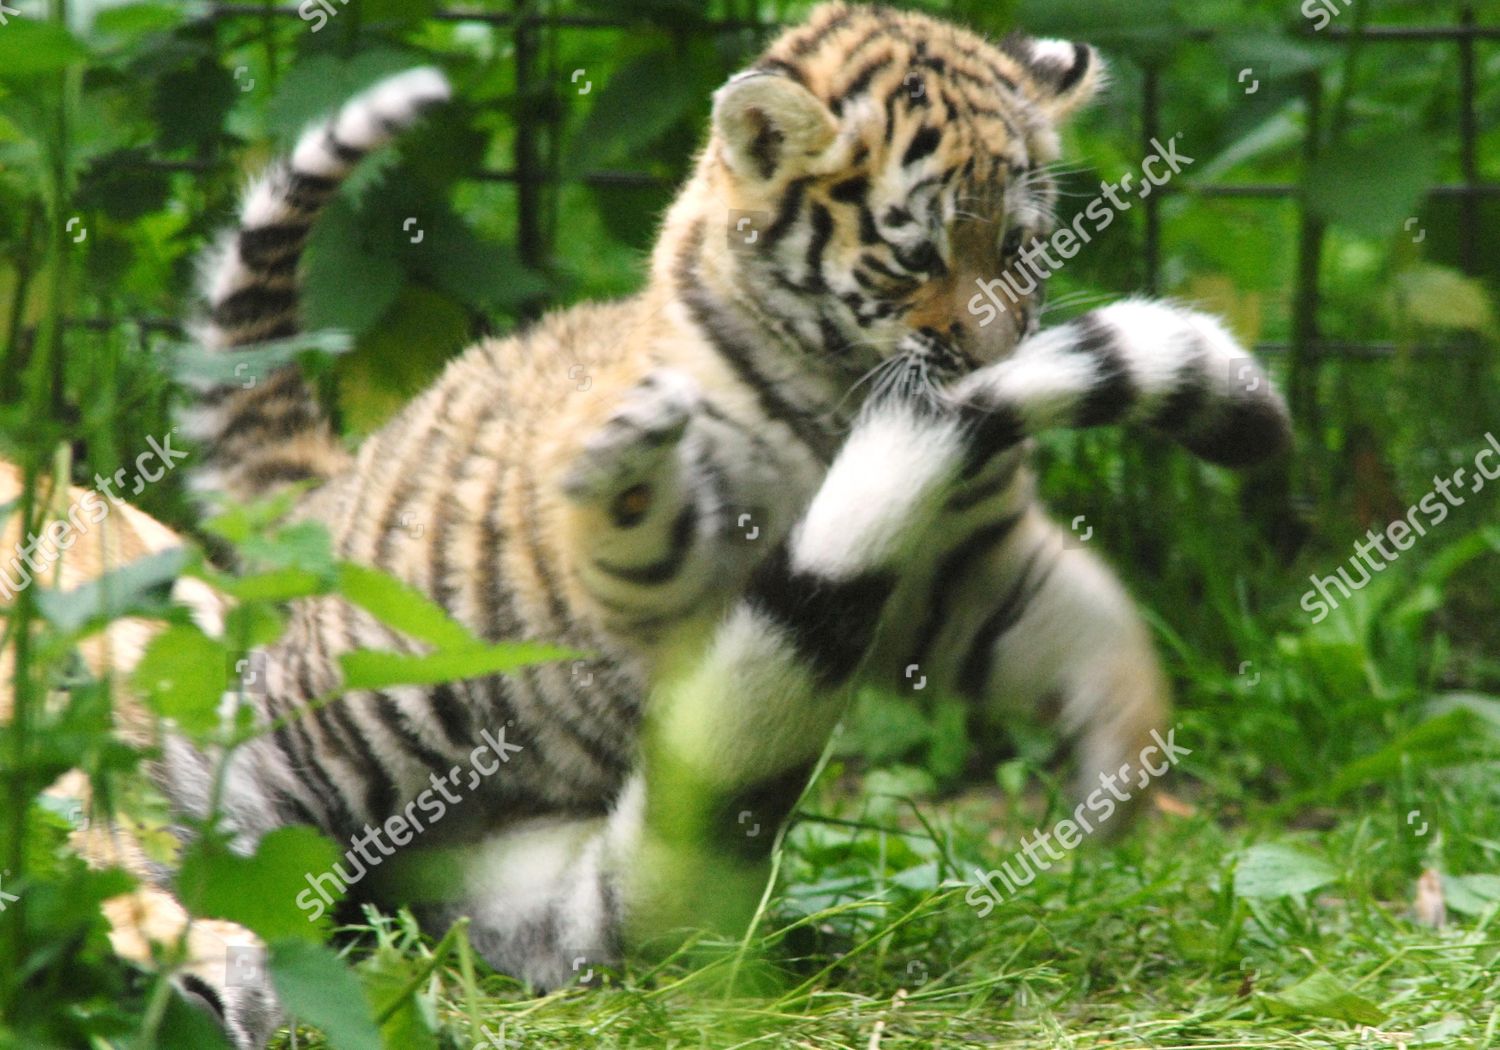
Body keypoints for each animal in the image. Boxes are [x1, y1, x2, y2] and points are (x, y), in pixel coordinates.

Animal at [15, 3, 1291, 1045]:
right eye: (914, 253)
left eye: (1018, 246)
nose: (988, 357)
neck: (845, 391)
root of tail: (325, 490)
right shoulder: (678, 574)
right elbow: (651, 527)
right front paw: (625, 444)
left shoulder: (966, 564)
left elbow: (1089, 626)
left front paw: (1119, 778)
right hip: (351, 716)